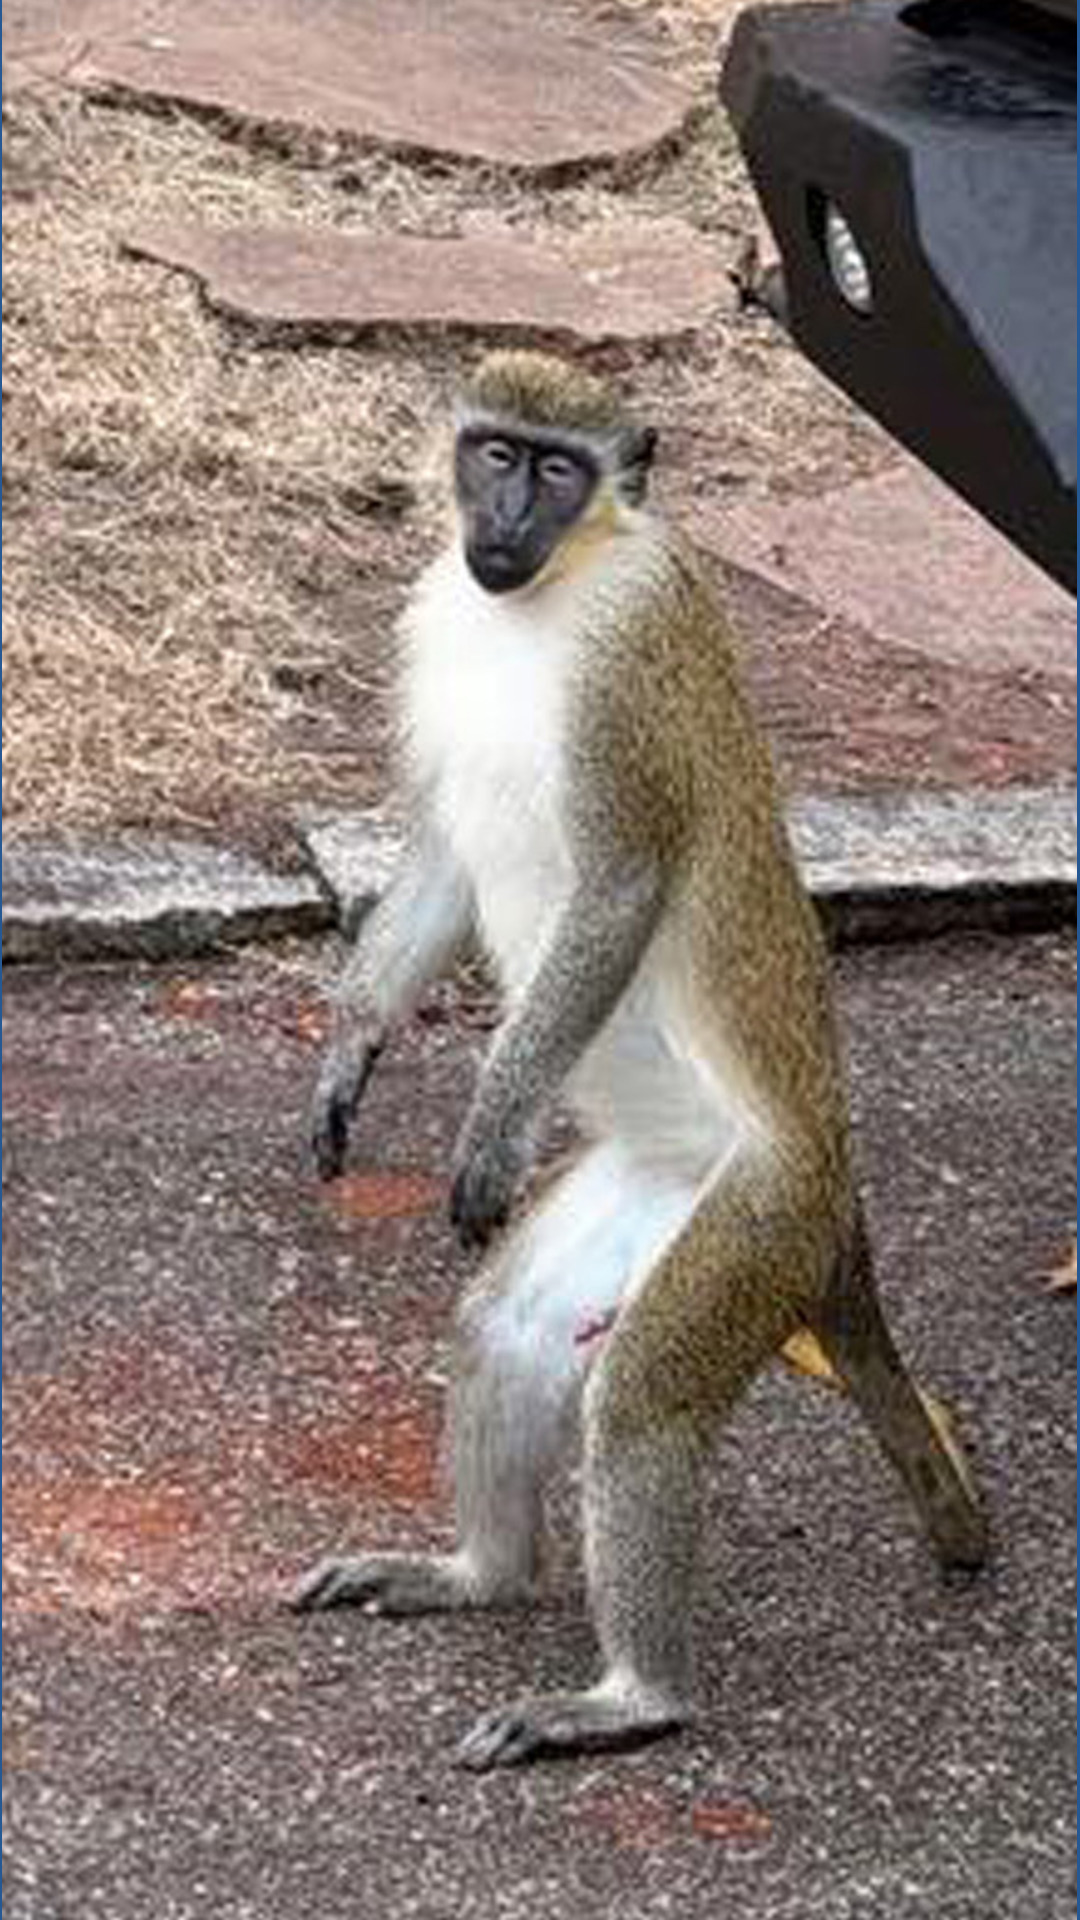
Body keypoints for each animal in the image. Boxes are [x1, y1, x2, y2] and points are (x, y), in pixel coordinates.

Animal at [292, 349, 987, 1769]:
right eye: (496, 452)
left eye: (561, 470)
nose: (505, 521)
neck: (544, 599)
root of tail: (836, 1195)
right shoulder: (435, 616)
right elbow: (442, 851)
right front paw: (353, 1044)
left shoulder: (631, 656)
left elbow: (616, 887)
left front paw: (496, 1115)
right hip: (657, 1193)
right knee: (507, 1329)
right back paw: (479, 1576)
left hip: (760, 1220)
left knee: (643, 1401)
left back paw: (638, 1698)